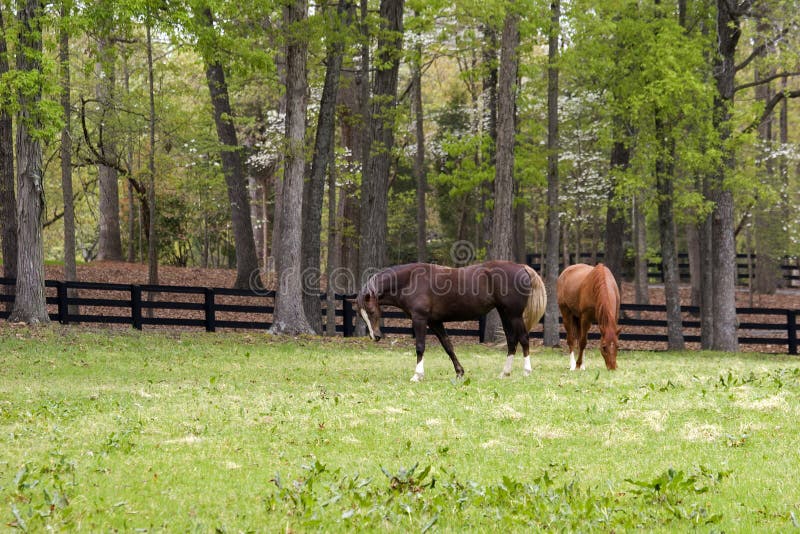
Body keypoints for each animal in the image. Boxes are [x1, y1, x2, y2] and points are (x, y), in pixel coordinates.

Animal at [355, 261, 546, 381]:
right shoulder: (435, 322)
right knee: (511, 341)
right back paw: (504, 373)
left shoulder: (420, 319)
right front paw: (459, 372)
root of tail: (521, 267)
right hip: (505, 314)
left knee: (524, 339)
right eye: (361, 315)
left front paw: (417, 375)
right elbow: (448, 346)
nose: (375, 336)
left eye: (372, 311)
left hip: (514, 315)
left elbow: (420, 347)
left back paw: (526, 371)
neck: (411, 280)